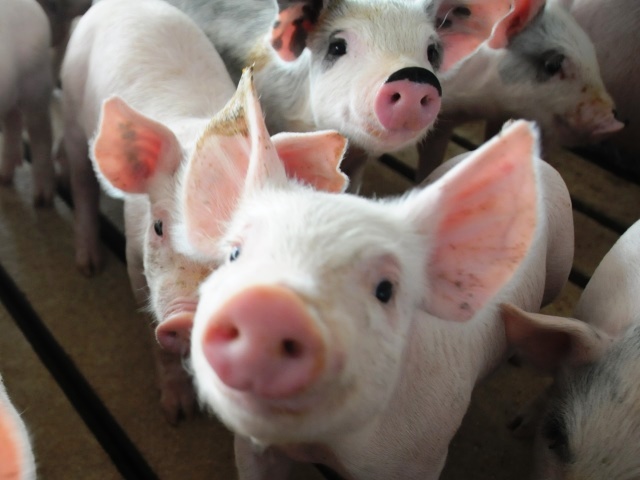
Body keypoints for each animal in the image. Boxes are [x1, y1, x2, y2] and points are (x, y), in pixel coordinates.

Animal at [178, 66, 575, 479]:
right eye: (235, 254)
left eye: (385, 290)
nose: (268, 305)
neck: (319, 445)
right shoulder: (253, 446)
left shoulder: (421, 456)